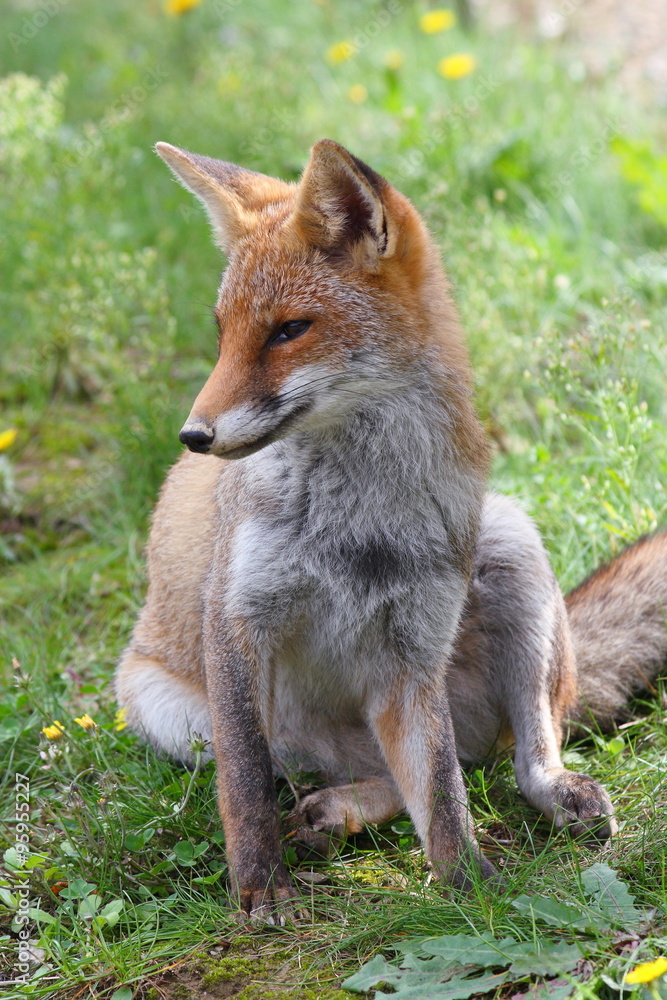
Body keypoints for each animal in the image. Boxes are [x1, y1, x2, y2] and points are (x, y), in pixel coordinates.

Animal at [115, 139, 667, 921]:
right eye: (223, 334)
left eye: (289, 330)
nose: (194, 435)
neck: (356, 517)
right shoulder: (237, 623)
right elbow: (246, 785)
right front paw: (260, 889)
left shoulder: (411, 656)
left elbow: (441, 796)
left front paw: (475, 894)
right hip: (174, 714)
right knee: (318, 774)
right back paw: (330, 812)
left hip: (509, 545)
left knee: (510, 756)